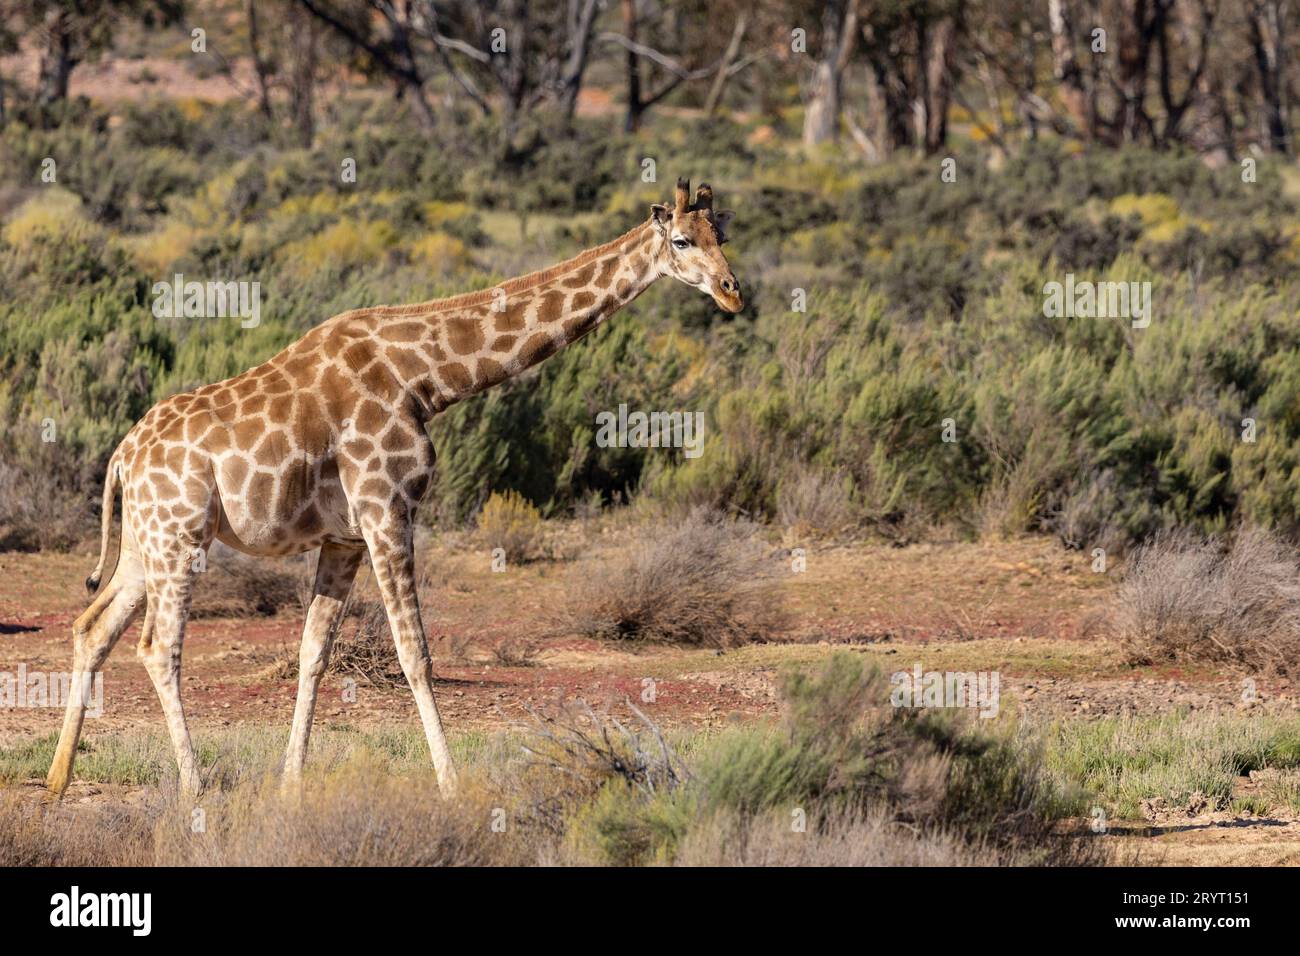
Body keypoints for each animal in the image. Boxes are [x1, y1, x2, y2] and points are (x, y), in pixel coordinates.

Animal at [45, 178, 740, 799]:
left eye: (723, 234)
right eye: (682, 240)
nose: (733, 293)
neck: (424, 376)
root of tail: (121, 455)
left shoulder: (345, 538)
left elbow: (314, 652)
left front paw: (291, 783)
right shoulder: (387, 510)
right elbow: (415, 652)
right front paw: (451, 784)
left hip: (148, 542)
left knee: (92, 628)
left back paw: (57, 780)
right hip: (180, 536)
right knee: (157, 647)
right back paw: (193, 788)